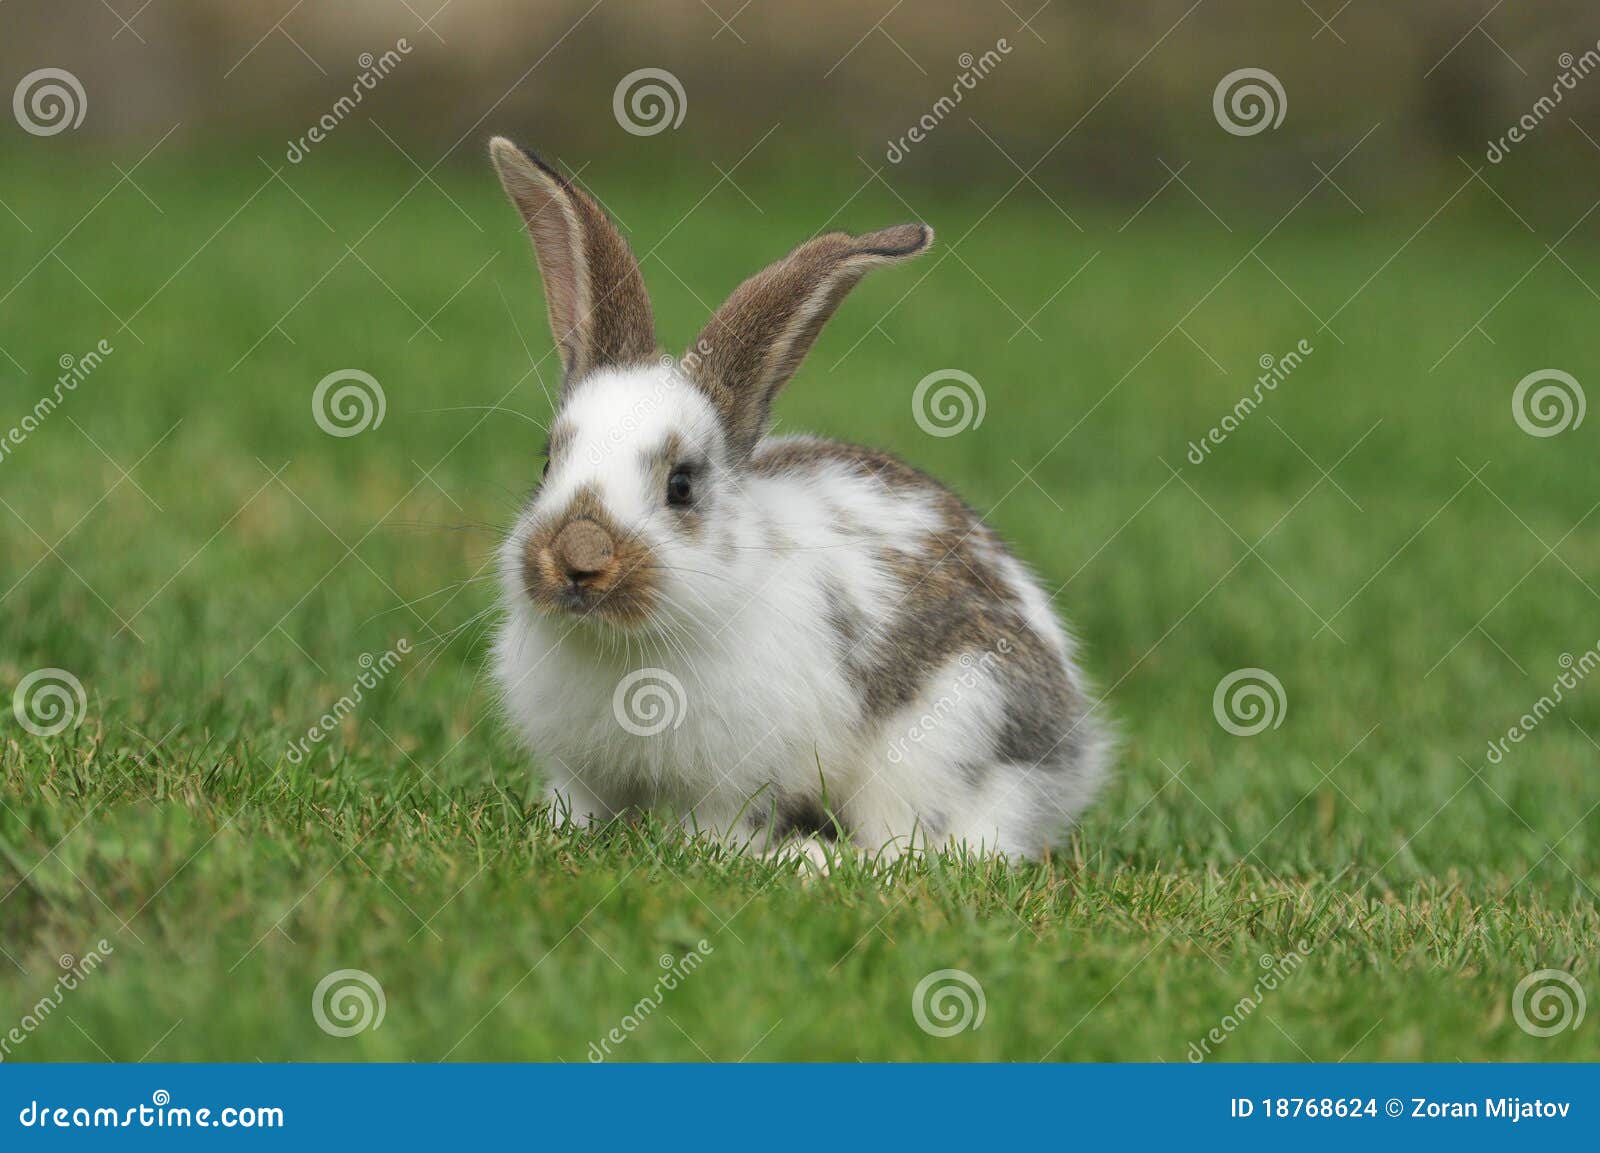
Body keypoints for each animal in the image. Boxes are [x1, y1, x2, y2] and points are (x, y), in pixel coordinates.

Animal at [488, 137, 1109, 865]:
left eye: (682, 484)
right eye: (548, 461)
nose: (578, 557)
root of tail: (1072, 753)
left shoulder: (737, 781)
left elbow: (720, 824)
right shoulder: (581, 773)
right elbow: (581, 808)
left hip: (950, 732)